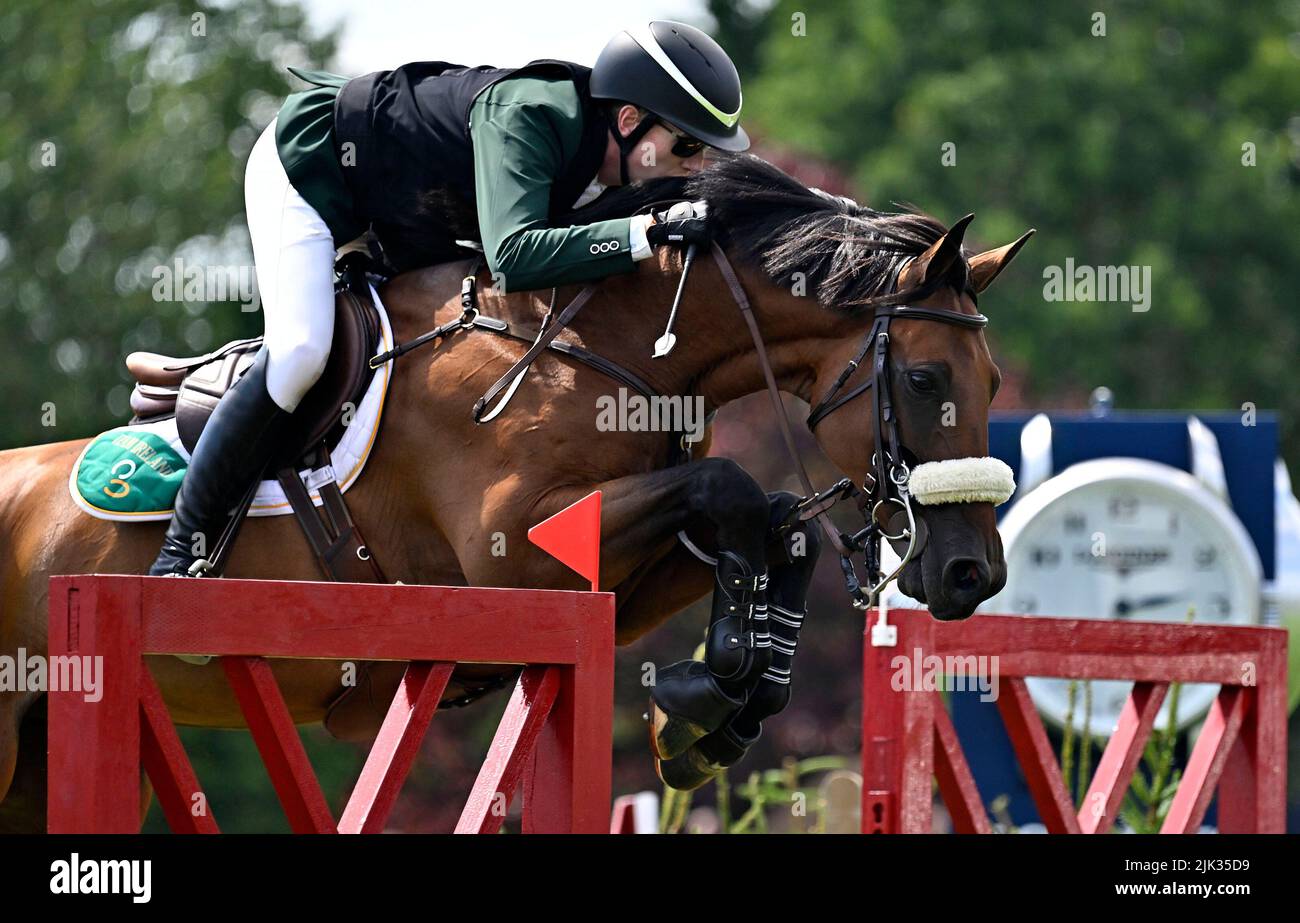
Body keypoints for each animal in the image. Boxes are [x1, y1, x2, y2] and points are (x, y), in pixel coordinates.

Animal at [0, 153, 1031, 830]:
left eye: (995, 383)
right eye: (927, 379)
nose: (973, 573)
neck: (595, 347)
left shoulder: (597, 579)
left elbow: (774, 523)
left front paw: (716, 698)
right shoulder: (518, 550)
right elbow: (733, 485)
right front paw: (716, 687)